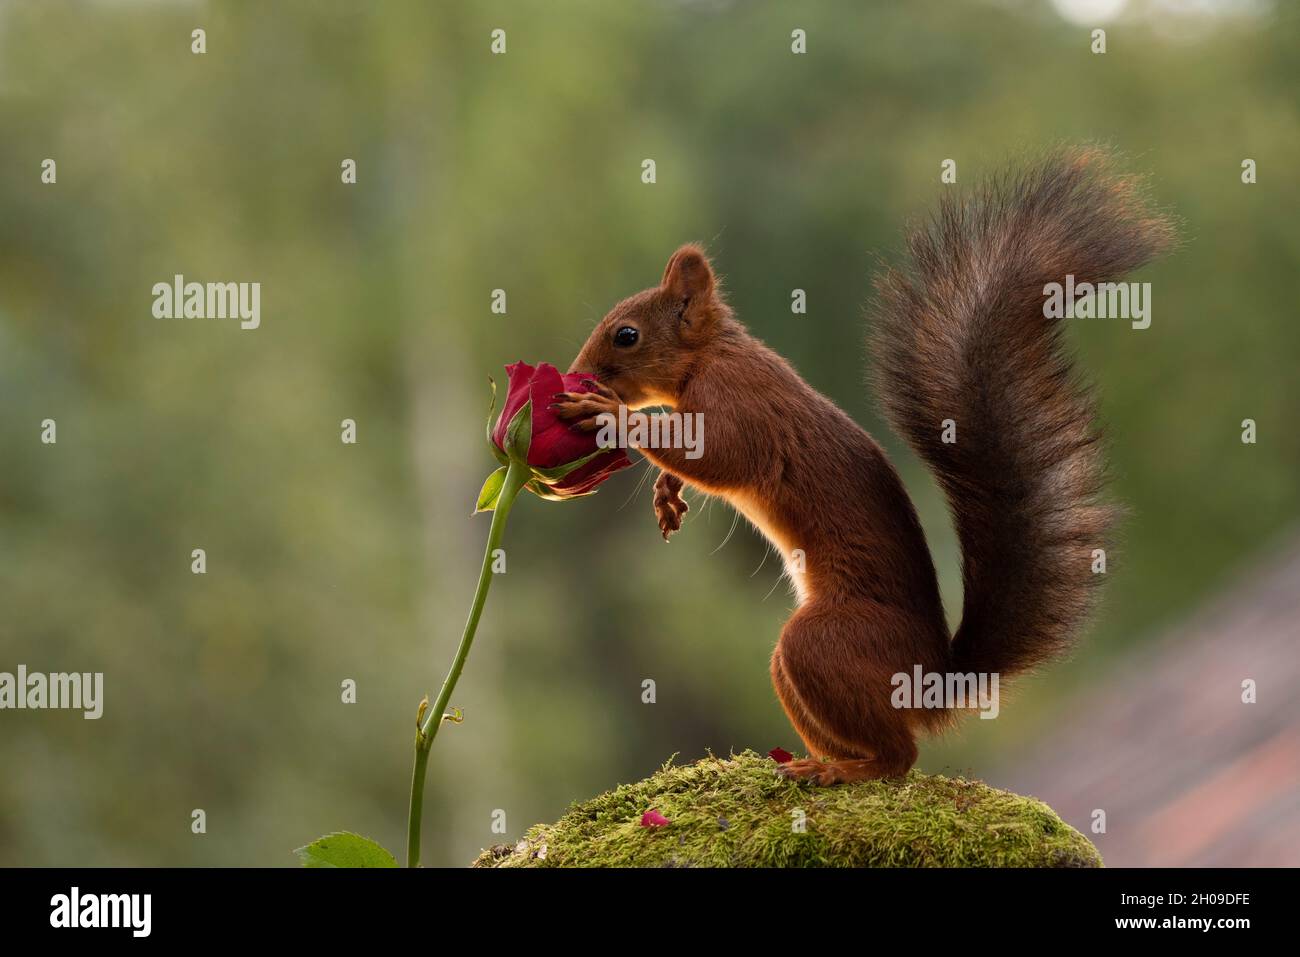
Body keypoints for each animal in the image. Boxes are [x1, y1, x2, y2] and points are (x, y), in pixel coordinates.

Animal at [552, 148, 1175, 784]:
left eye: (626, 336)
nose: (577, 374)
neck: (709, 354)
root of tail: (932, 684)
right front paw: (666, 491)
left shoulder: (740, 403)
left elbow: (722, 456)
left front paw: (607, 415)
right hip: (795, 670)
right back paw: (818, 761)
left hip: (824, 645)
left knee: (901, 757)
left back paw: (842, 771)